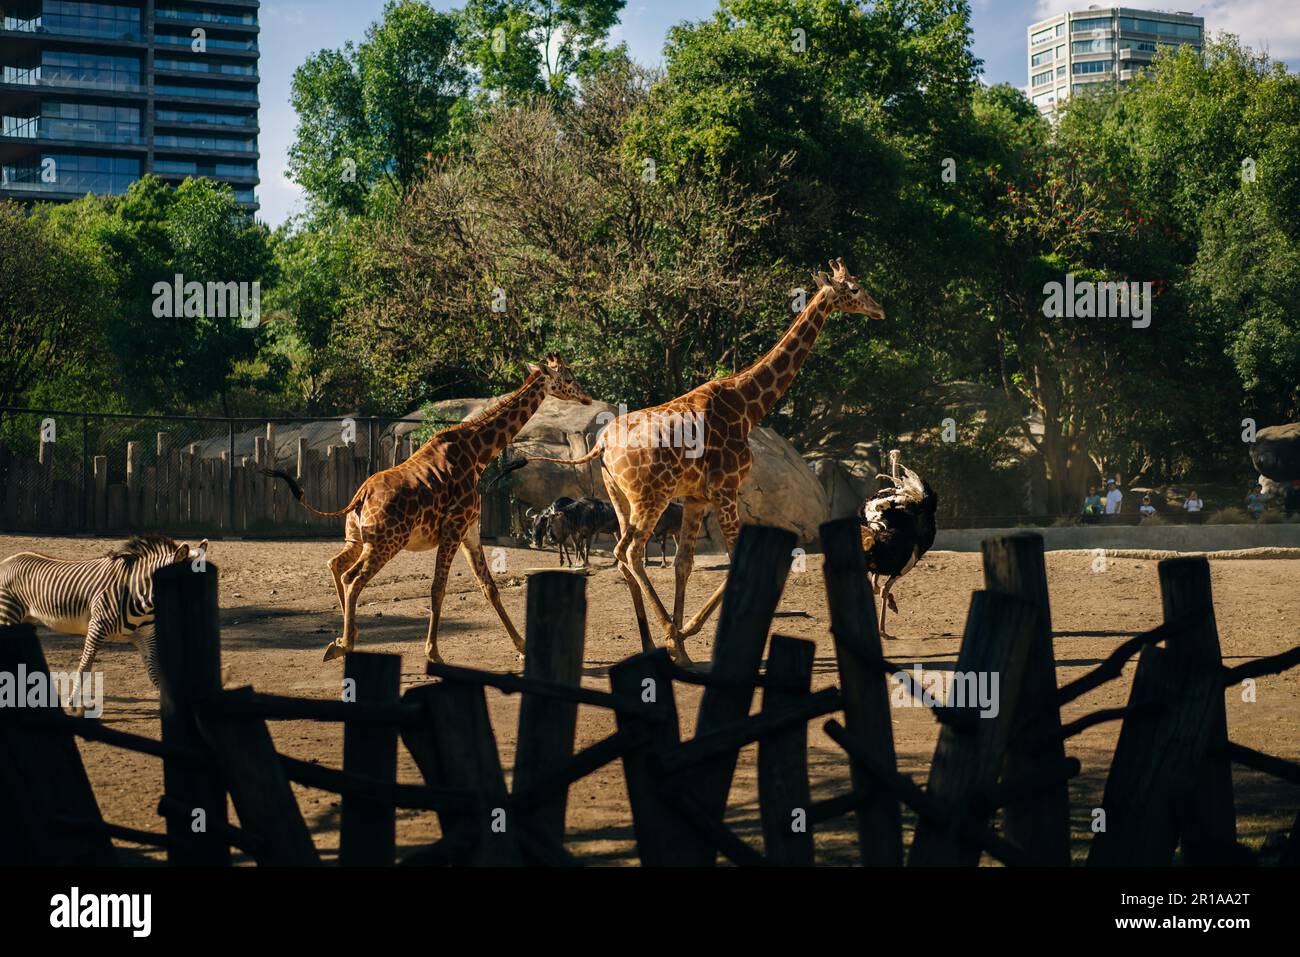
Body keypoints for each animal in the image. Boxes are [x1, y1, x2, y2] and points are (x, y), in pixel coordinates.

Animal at [0, 534, 206, 696]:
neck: (137, 594)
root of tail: (7, 560)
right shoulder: (96, 627)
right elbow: (85, 666)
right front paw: (74, 704)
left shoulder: (145, 635)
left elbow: (154, 671)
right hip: (9, 615)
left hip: (24, 619)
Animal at [264, 355, 592, 663]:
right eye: (568, 377)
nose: (587, 398)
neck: (479, 453)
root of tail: (360, 496)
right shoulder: (453, 529)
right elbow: (438, 588)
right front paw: (433, 652)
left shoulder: (470, 531)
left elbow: (489, 587)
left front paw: (523, 647)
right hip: (386, 542)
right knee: (353, 578)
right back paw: (344, 644)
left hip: (358, 538)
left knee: (336, 565)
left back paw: (348, 637)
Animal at [526, 259, 885, 663]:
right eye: (854, 288)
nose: (879, 310)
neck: (747, 404)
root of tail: (601, 445)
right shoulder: (726, 489)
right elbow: (732, 562)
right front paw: (682, 635)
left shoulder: (697, 498)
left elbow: (684, 563)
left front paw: (681, 640)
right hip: (650, 498)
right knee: (630, 552)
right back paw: (666, 638)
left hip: (620, 499)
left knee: (622, 554)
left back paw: (651, 643)